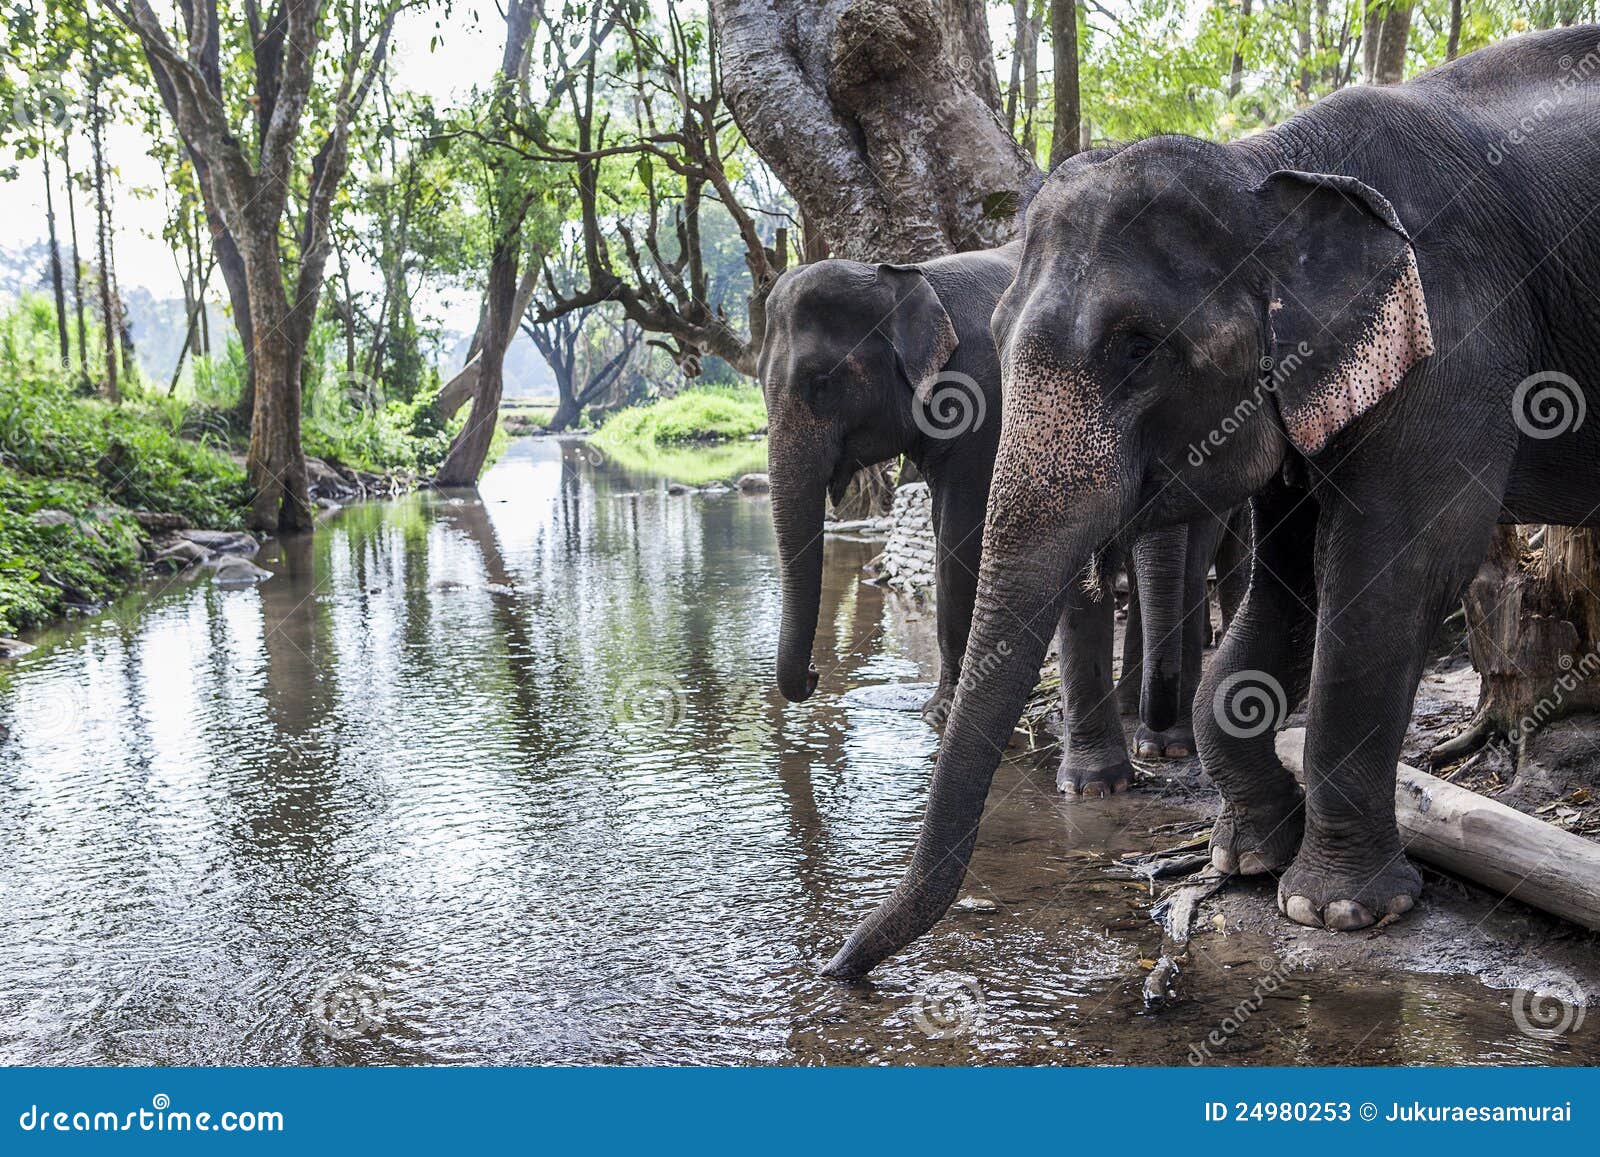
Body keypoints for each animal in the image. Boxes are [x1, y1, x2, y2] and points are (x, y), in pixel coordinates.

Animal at [758, 244, 1240, 792]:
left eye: (821, 383)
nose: (815, 675)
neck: (903, 278)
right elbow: (946, 527)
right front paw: (940, 713)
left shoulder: (981, 403)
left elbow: (961, 535)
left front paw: (945, 713)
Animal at [823, 26, 1600, 978]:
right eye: (994, 335)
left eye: (1136, 346)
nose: (838, 970)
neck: (1268, 164)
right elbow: (1292, 575)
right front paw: (1248, 853)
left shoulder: (1459, 341)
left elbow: (1400, 566)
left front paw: (1335, 908)